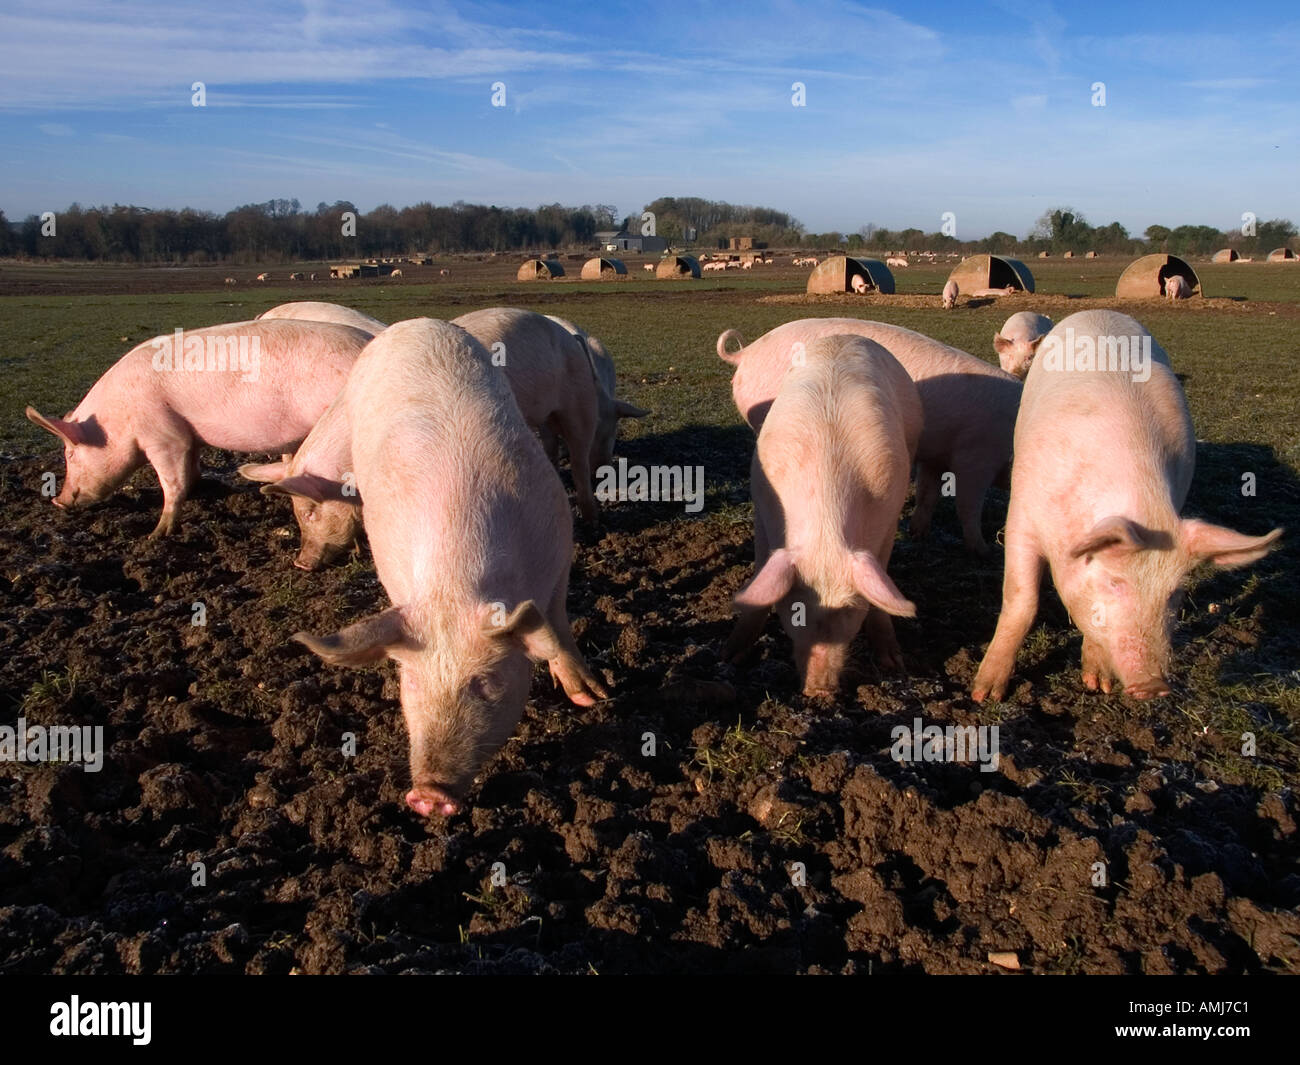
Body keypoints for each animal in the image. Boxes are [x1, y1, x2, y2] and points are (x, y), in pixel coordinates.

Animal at [25, 320, 372, 537]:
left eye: (70, 454)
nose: (58, 500)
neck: (118, 415)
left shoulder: (164, 435)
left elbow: (171, 482)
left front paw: (157, 534)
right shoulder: (189, 437)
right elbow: (189, 471)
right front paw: (198, 493)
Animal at [292, 318, 608, 816]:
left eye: (486, 683)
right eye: (411, 683)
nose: (427, 795)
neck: (454, 582)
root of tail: (413, 324)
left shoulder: (557, 542)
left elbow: (556, 623)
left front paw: (591, 699)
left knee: (579, 457)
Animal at [718, 318, 1021, 555]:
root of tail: (747, 352)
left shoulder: (936, 456)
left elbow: (928, 494)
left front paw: (918, 534)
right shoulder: (977, 455)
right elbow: (968, 505)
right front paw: (982, 550)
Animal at [725, 335, 922, 695]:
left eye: (851, 610)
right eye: (795, 611)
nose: (819, 690)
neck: (825, 528)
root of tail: (847, 336)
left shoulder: (890, 513)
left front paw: (893, 663)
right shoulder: (761, 503)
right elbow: (761, 568)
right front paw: (730, 655)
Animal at [971, 310, 1281, 701]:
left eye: (1173, 594)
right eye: (1114, 582)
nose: (1153, 686)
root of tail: (1101, 311)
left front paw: (1098, 684)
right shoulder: (1022, 518)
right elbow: (1021, 602)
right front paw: (984, 694)